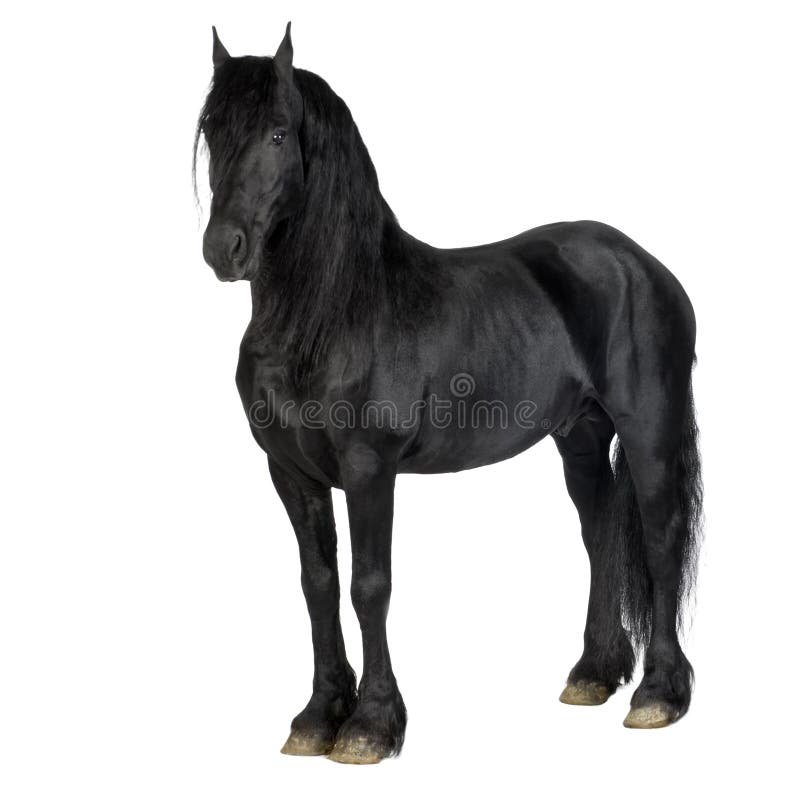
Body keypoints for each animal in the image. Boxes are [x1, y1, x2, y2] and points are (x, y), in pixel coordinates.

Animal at [194, 24, 703, 764]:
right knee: (601, 534)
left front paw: (371, 726)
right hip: (580, 437)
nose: (223, 249)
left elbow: (369, 586)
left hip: (649, 429)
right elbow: (318, 585)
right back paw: (592, 675)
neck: (334, 311)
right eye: (212, 131)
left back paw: (658, 695)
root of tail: (641, 264)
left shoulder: (369, 470)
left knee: (661, 539)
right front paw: (318, 717)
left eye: (279, 134)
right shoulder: (291, 472)